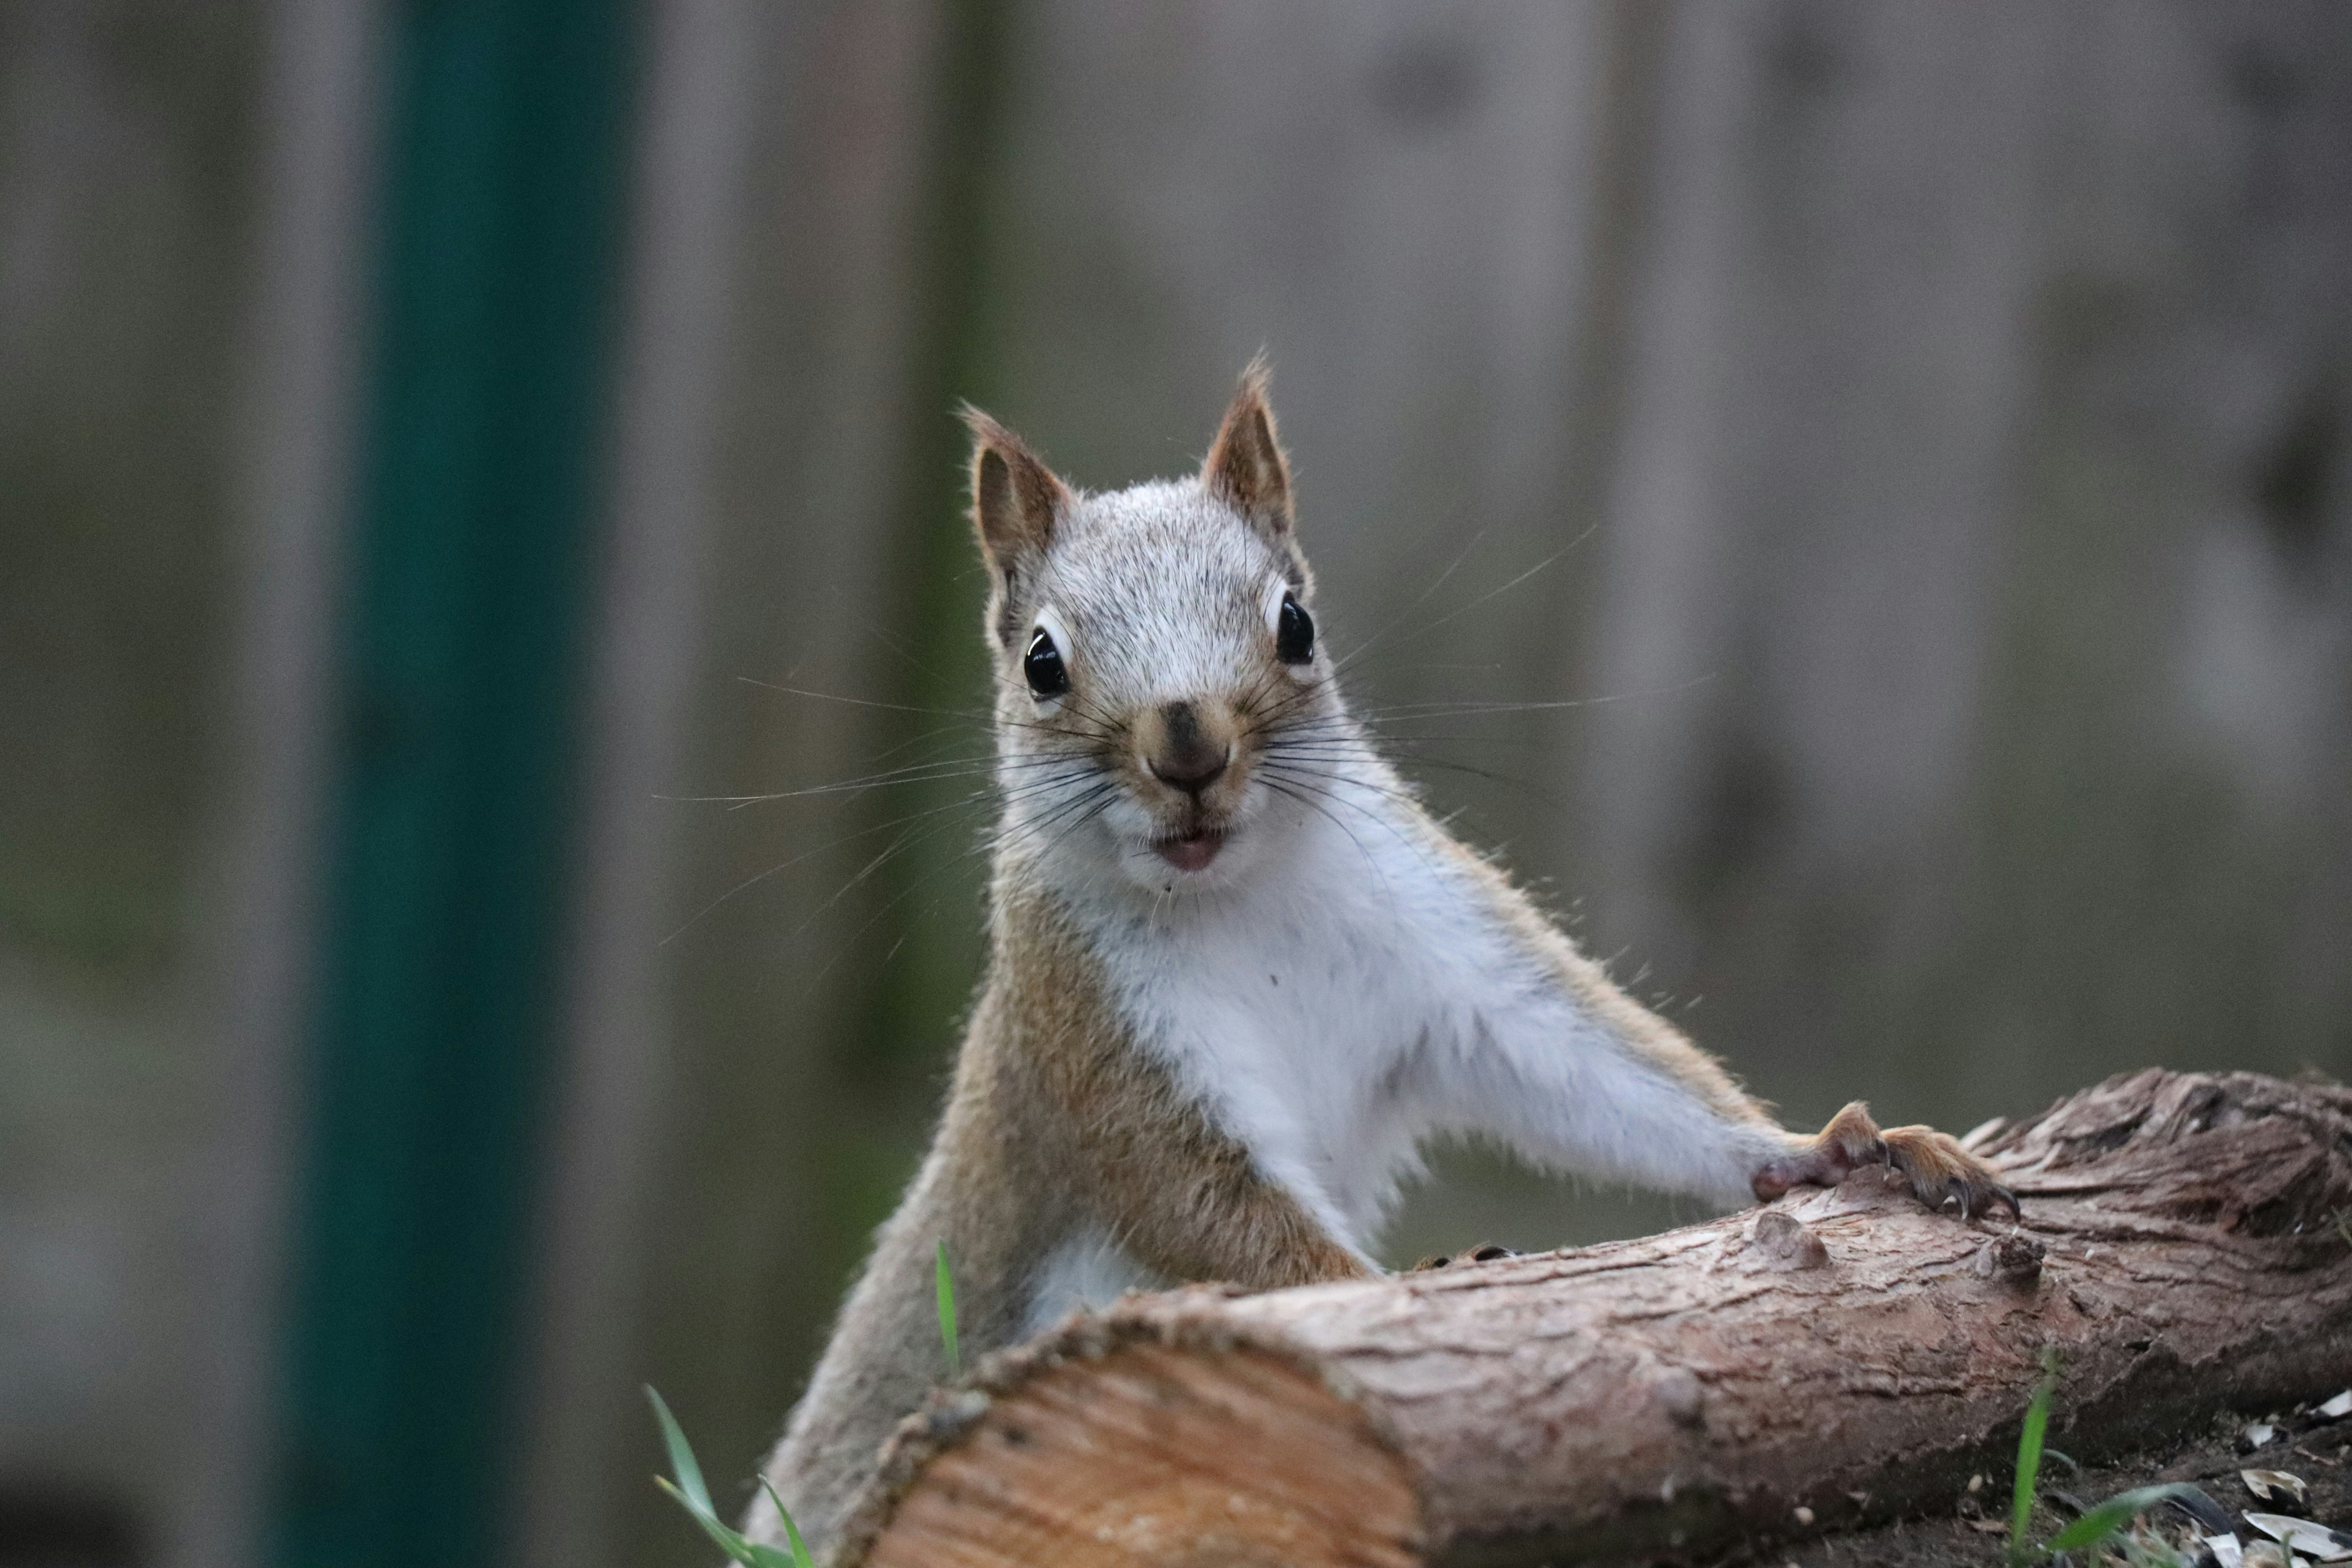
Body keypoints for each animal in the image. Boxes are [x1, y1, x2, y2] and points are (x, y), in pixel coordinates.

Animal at [745, 363, 2016, 1561]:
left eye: (1296, 623)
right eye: (1041, 662)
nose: (1187, 746)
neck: (1240, 898)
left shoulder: (1446, 952)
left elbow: (1588, 1066)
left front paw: (1827, 1148)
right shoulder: (1095, 1033)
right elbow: (1211, 1207)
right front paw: (1405, 1295)